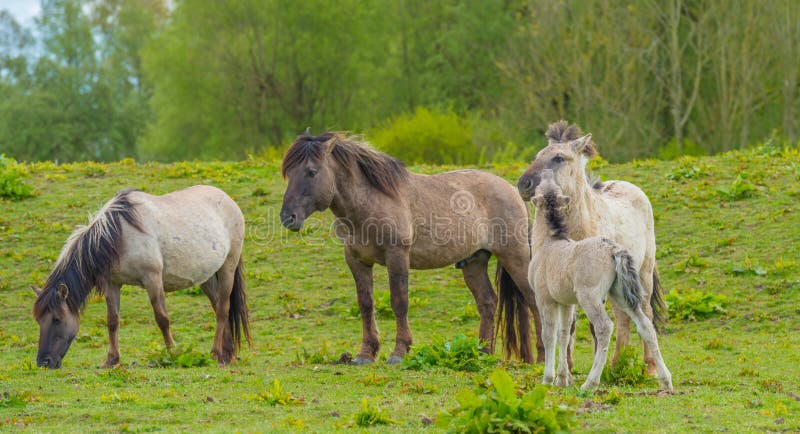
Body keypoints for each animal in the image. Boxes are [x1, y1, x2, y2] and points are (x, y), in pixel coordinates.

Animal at [32, 186, 250, 368]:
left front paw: (173, 353)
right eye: (39, 320)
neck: (118, 235)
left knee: (223, 309)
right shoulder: (112, 284)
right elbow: (112, 320)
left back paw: (216, 353)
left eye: (57, 319)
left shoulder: (152, 278)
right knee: (218, 305)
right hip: (207, 277)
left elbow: (162, 318)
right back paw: (228, 354)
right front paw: (111, 360)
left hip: (228, 267)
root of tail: (229, 200)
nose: (43, 362)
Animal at [280, 132, 542, 365]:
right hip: (474, 262)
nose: (287, 217)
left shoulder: (397, 256)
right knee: (487, 303)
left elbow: (399, 301)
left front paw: (399, 352)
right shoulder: (356, 260)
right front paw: (366, 354)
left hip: (515, 257)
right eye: (289, 172)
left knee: (533, 299)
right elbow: (366, 304)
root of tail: (512, 191)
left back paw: (542, 357)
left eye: (312, 172)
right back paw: (482, 353)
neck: (371, 203)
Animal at [517, 120, 667, 375]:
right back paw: (617, 363)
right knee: (624, 318)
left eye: (559, 158)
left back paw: (648, 366)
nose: (523, 184)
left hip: (643, 273)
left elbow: (594, 328)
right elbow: (569, 327)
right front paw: (567, 366)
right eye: (537, 155)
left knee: (644, 313)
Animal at [528, 170, 673, 392]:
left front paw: (548, 379)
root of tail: (615, 250)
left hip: (591, 297)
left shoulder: (545, 299)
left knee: (605, 327)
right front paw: (562, 379)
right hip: (621, 295)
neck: (548, 244)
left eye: (539, 188)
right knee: (646, 326)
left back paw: (591, 382)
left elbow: (549, 335)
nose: (545, 172)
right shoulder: (566, 302)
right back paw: (665, 380)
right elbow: (564, 334)